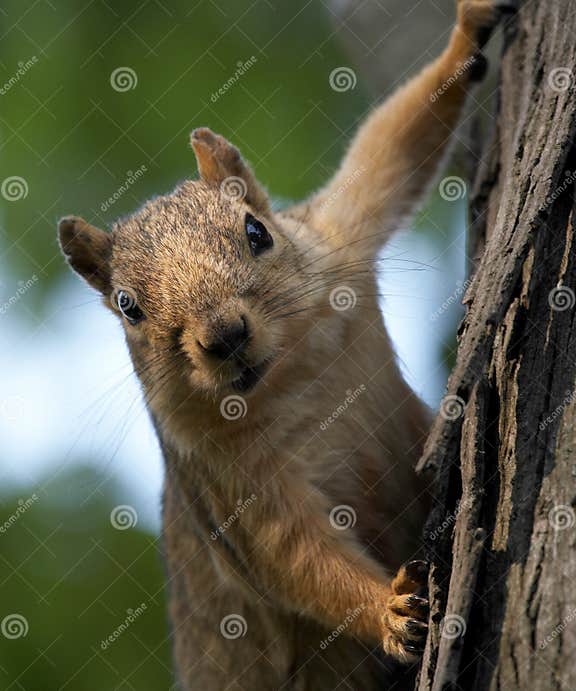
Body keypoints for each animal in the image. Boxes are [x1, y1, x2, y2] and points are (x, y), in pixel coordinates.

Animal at [58, 2, 501, 688]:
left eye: (256, 231)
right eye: (128, 306)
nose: (225, 335)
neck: (292, 377)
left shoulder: (338, 234)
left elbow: (391, 148)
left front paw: (466, 34)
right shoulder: (222, 474)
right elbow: (295, 557)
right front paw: (390, 611)